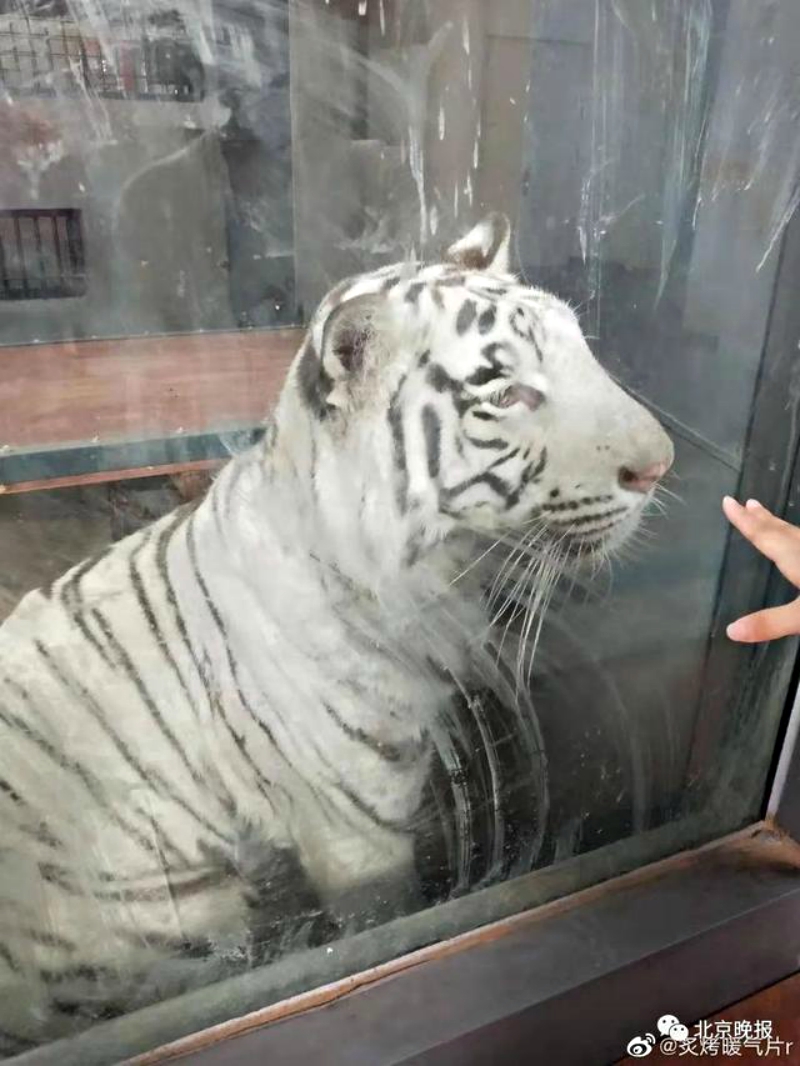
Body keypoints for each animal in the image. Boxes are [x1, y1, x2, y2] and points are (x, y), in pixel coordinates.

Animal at [0, 213, 673, 1052]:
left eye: (582, 350)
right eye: (507, 391)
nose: (661, 466)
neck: (434, 574)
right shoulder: (360, 832)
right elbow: (388, 916)